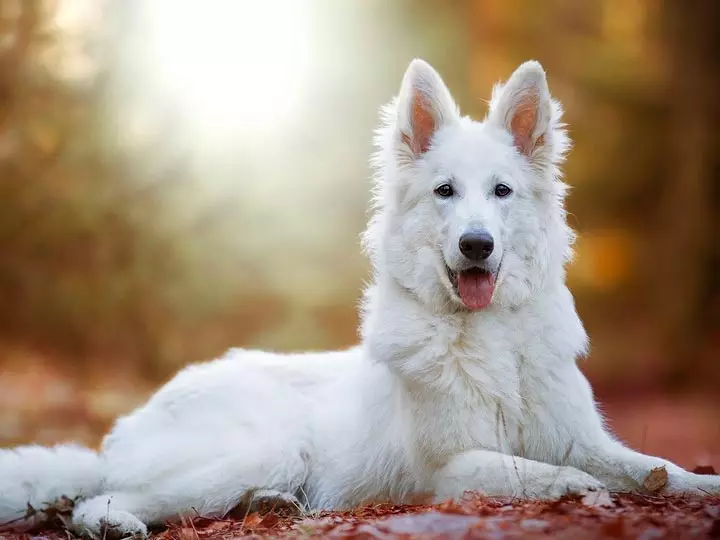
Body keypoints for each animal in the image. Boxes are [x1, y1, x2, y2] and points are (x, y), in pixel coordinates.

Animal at [1, 57, 720, 536]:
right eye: (445, 192)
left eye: (502, 192)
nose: (477, 245)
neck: (489, 336)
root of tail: (118, 434)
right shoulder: (447, 472)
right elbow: (527, 469)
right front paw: (579, 490)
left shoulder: (578, 436)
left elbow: (650, 464)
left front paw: (696, 483)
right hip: (261, 446)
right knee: (94, 502)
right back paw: (119, 522)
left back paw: (271, 505)